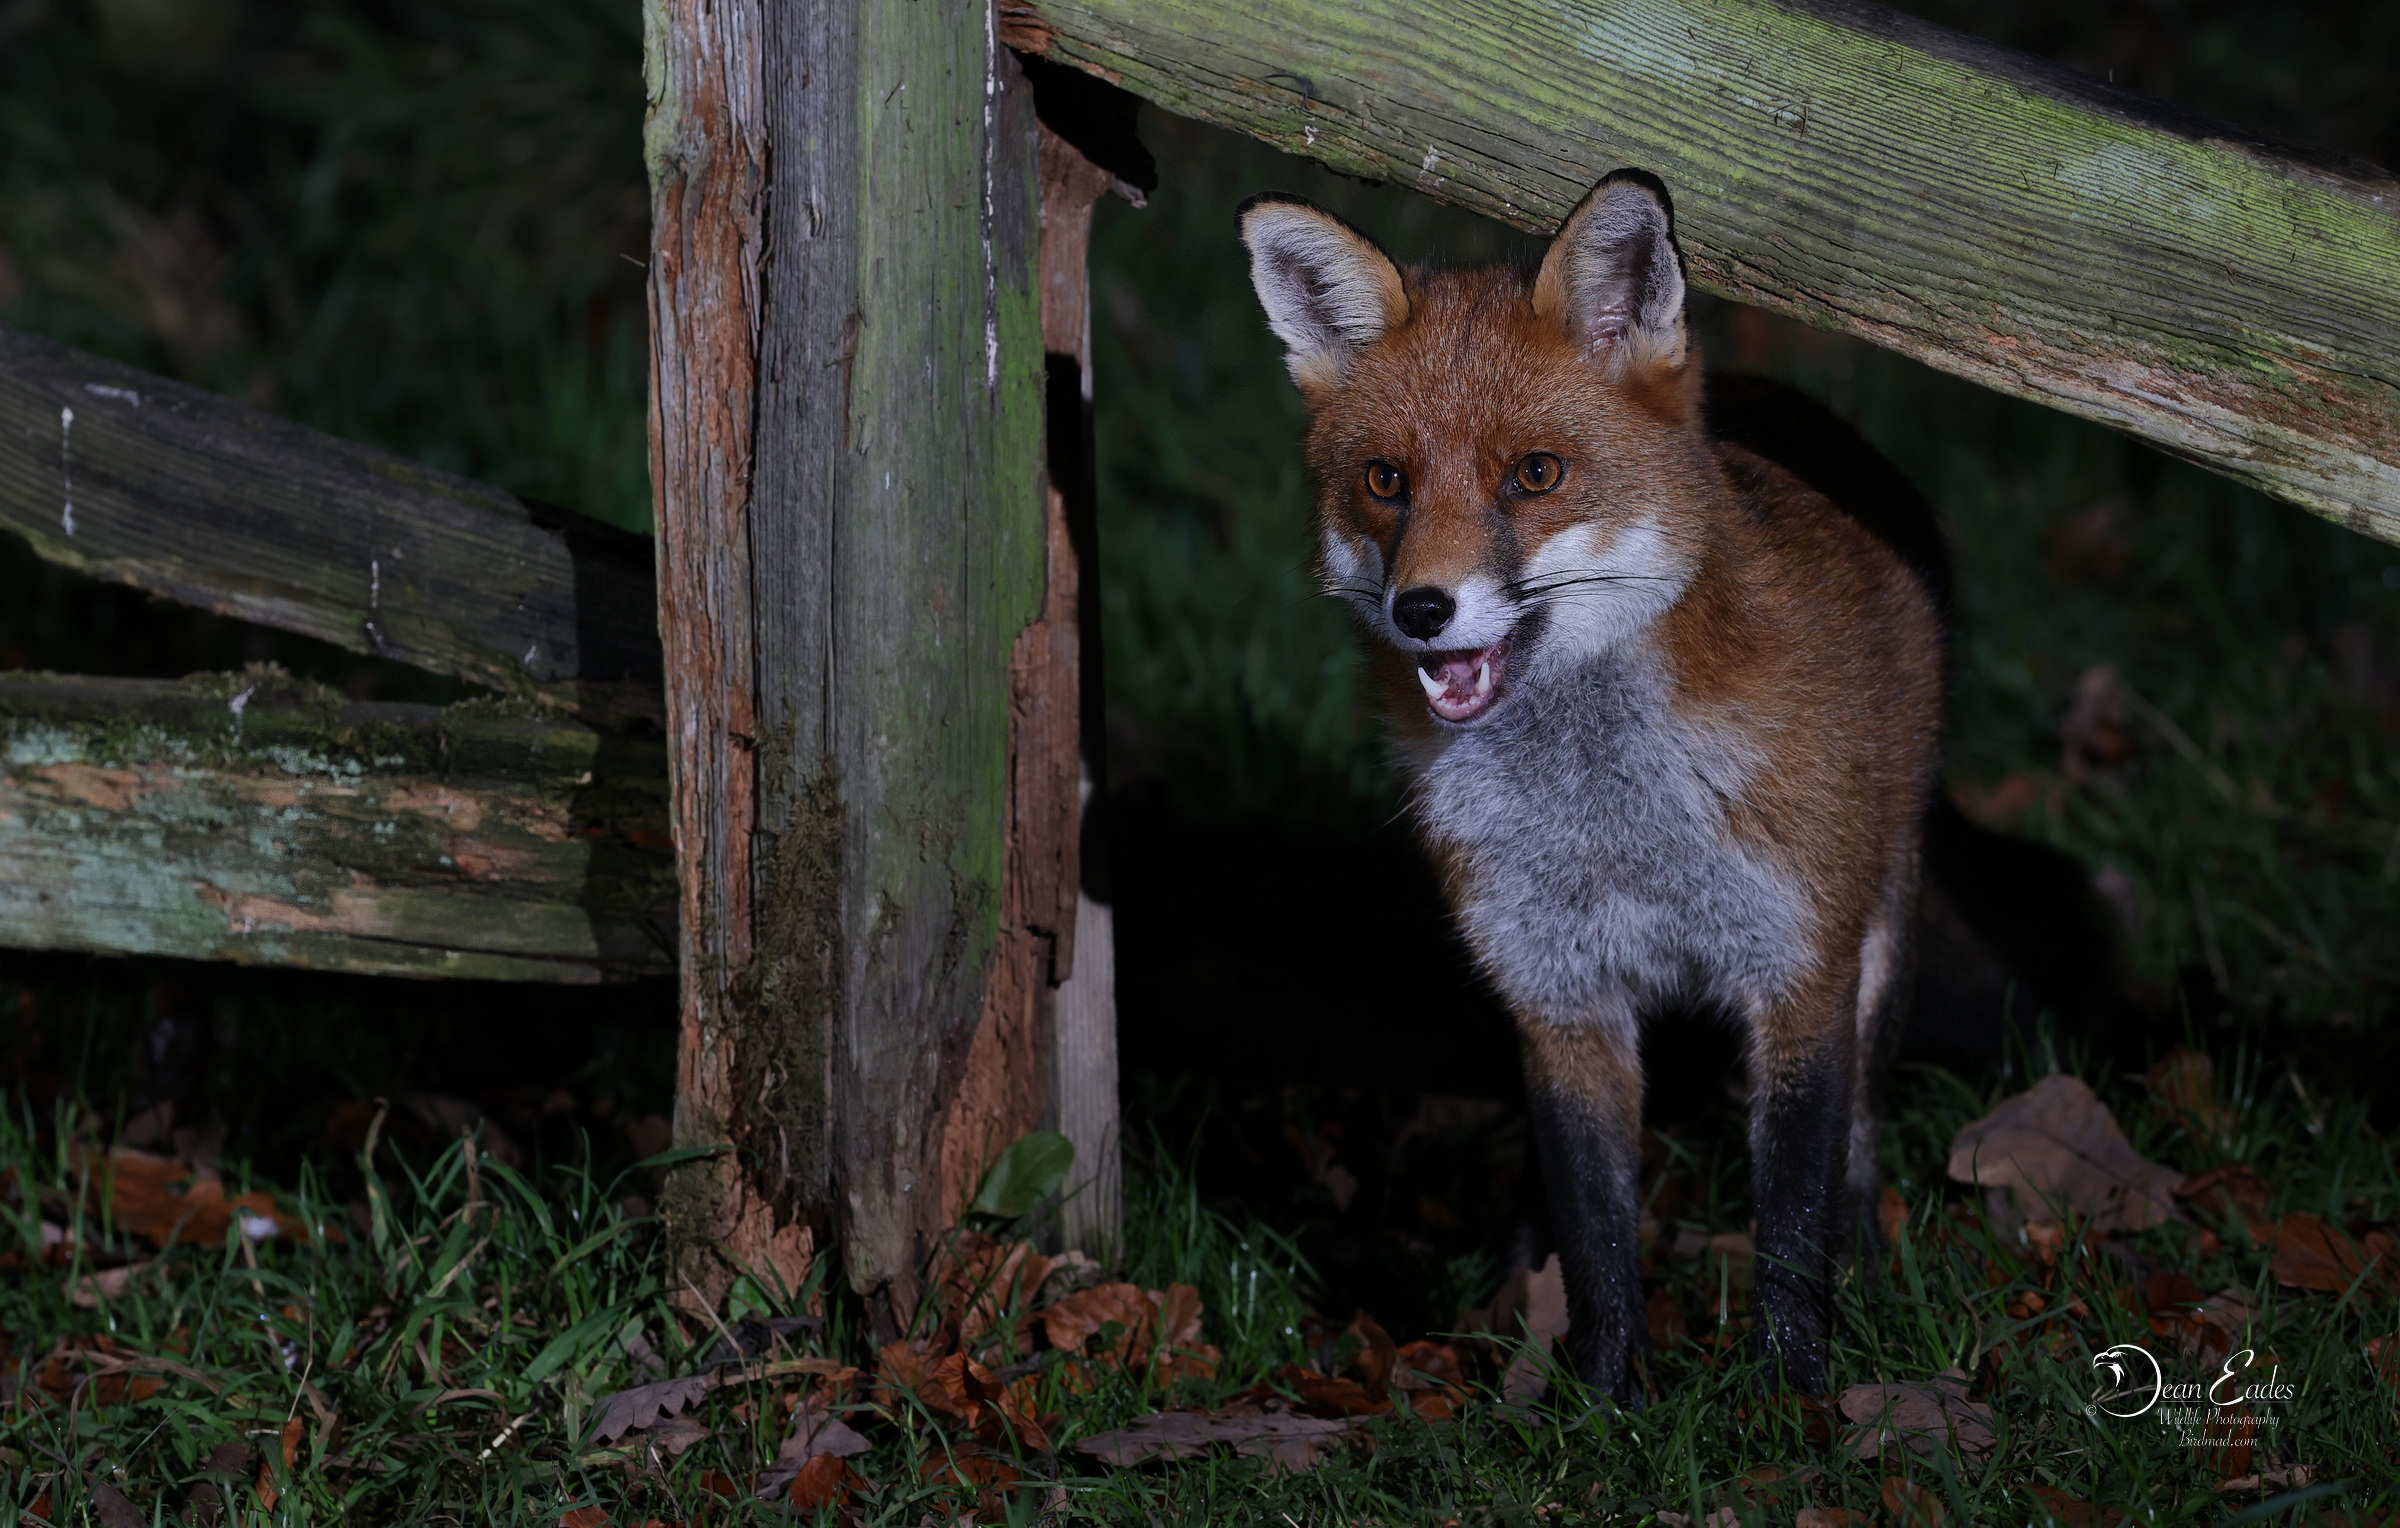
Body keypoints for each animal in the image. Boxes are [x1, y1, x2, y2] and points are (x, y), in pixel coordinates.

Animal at [1236, 169, 1947, 1402]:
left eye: (1536, 475)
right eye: (1386, 482)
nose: (1423, 609)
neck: (1614, 823)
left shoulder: (1797, 970)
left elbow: (1792, 1220)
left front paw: (1792, 1399)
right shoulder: (1556, 989)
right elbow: (1598, 1232)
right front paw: (1610, 1403)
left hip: (1881, 937)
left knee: (1858, 1143)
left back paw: (1868, 1281)